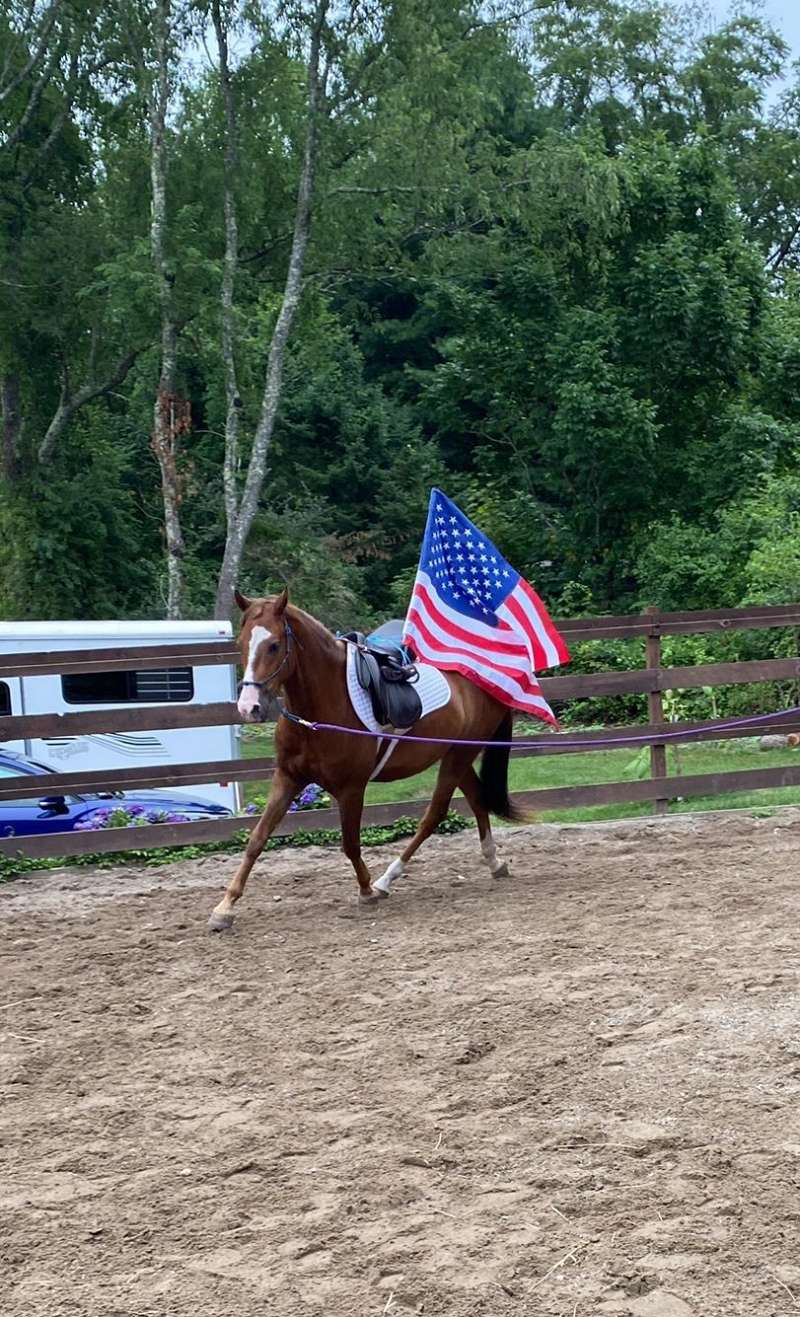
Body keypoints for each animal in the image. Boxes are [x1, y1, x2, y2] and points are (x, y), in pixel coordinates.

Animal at [208, 588, 524, 931]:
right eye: (241, 643)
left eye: (274, 645)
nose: (248, 707)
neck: (321, 710)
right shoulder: (287, 778)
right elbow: (257, 839)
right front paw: (224, 908)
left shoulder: (351, 788)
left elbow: (350, 843)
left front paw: (366, 890)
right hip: (454, 755)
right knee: (477, 799)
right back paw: (494, 861)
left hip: (459, 756)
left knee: (433, 815)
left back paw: (387, 879)